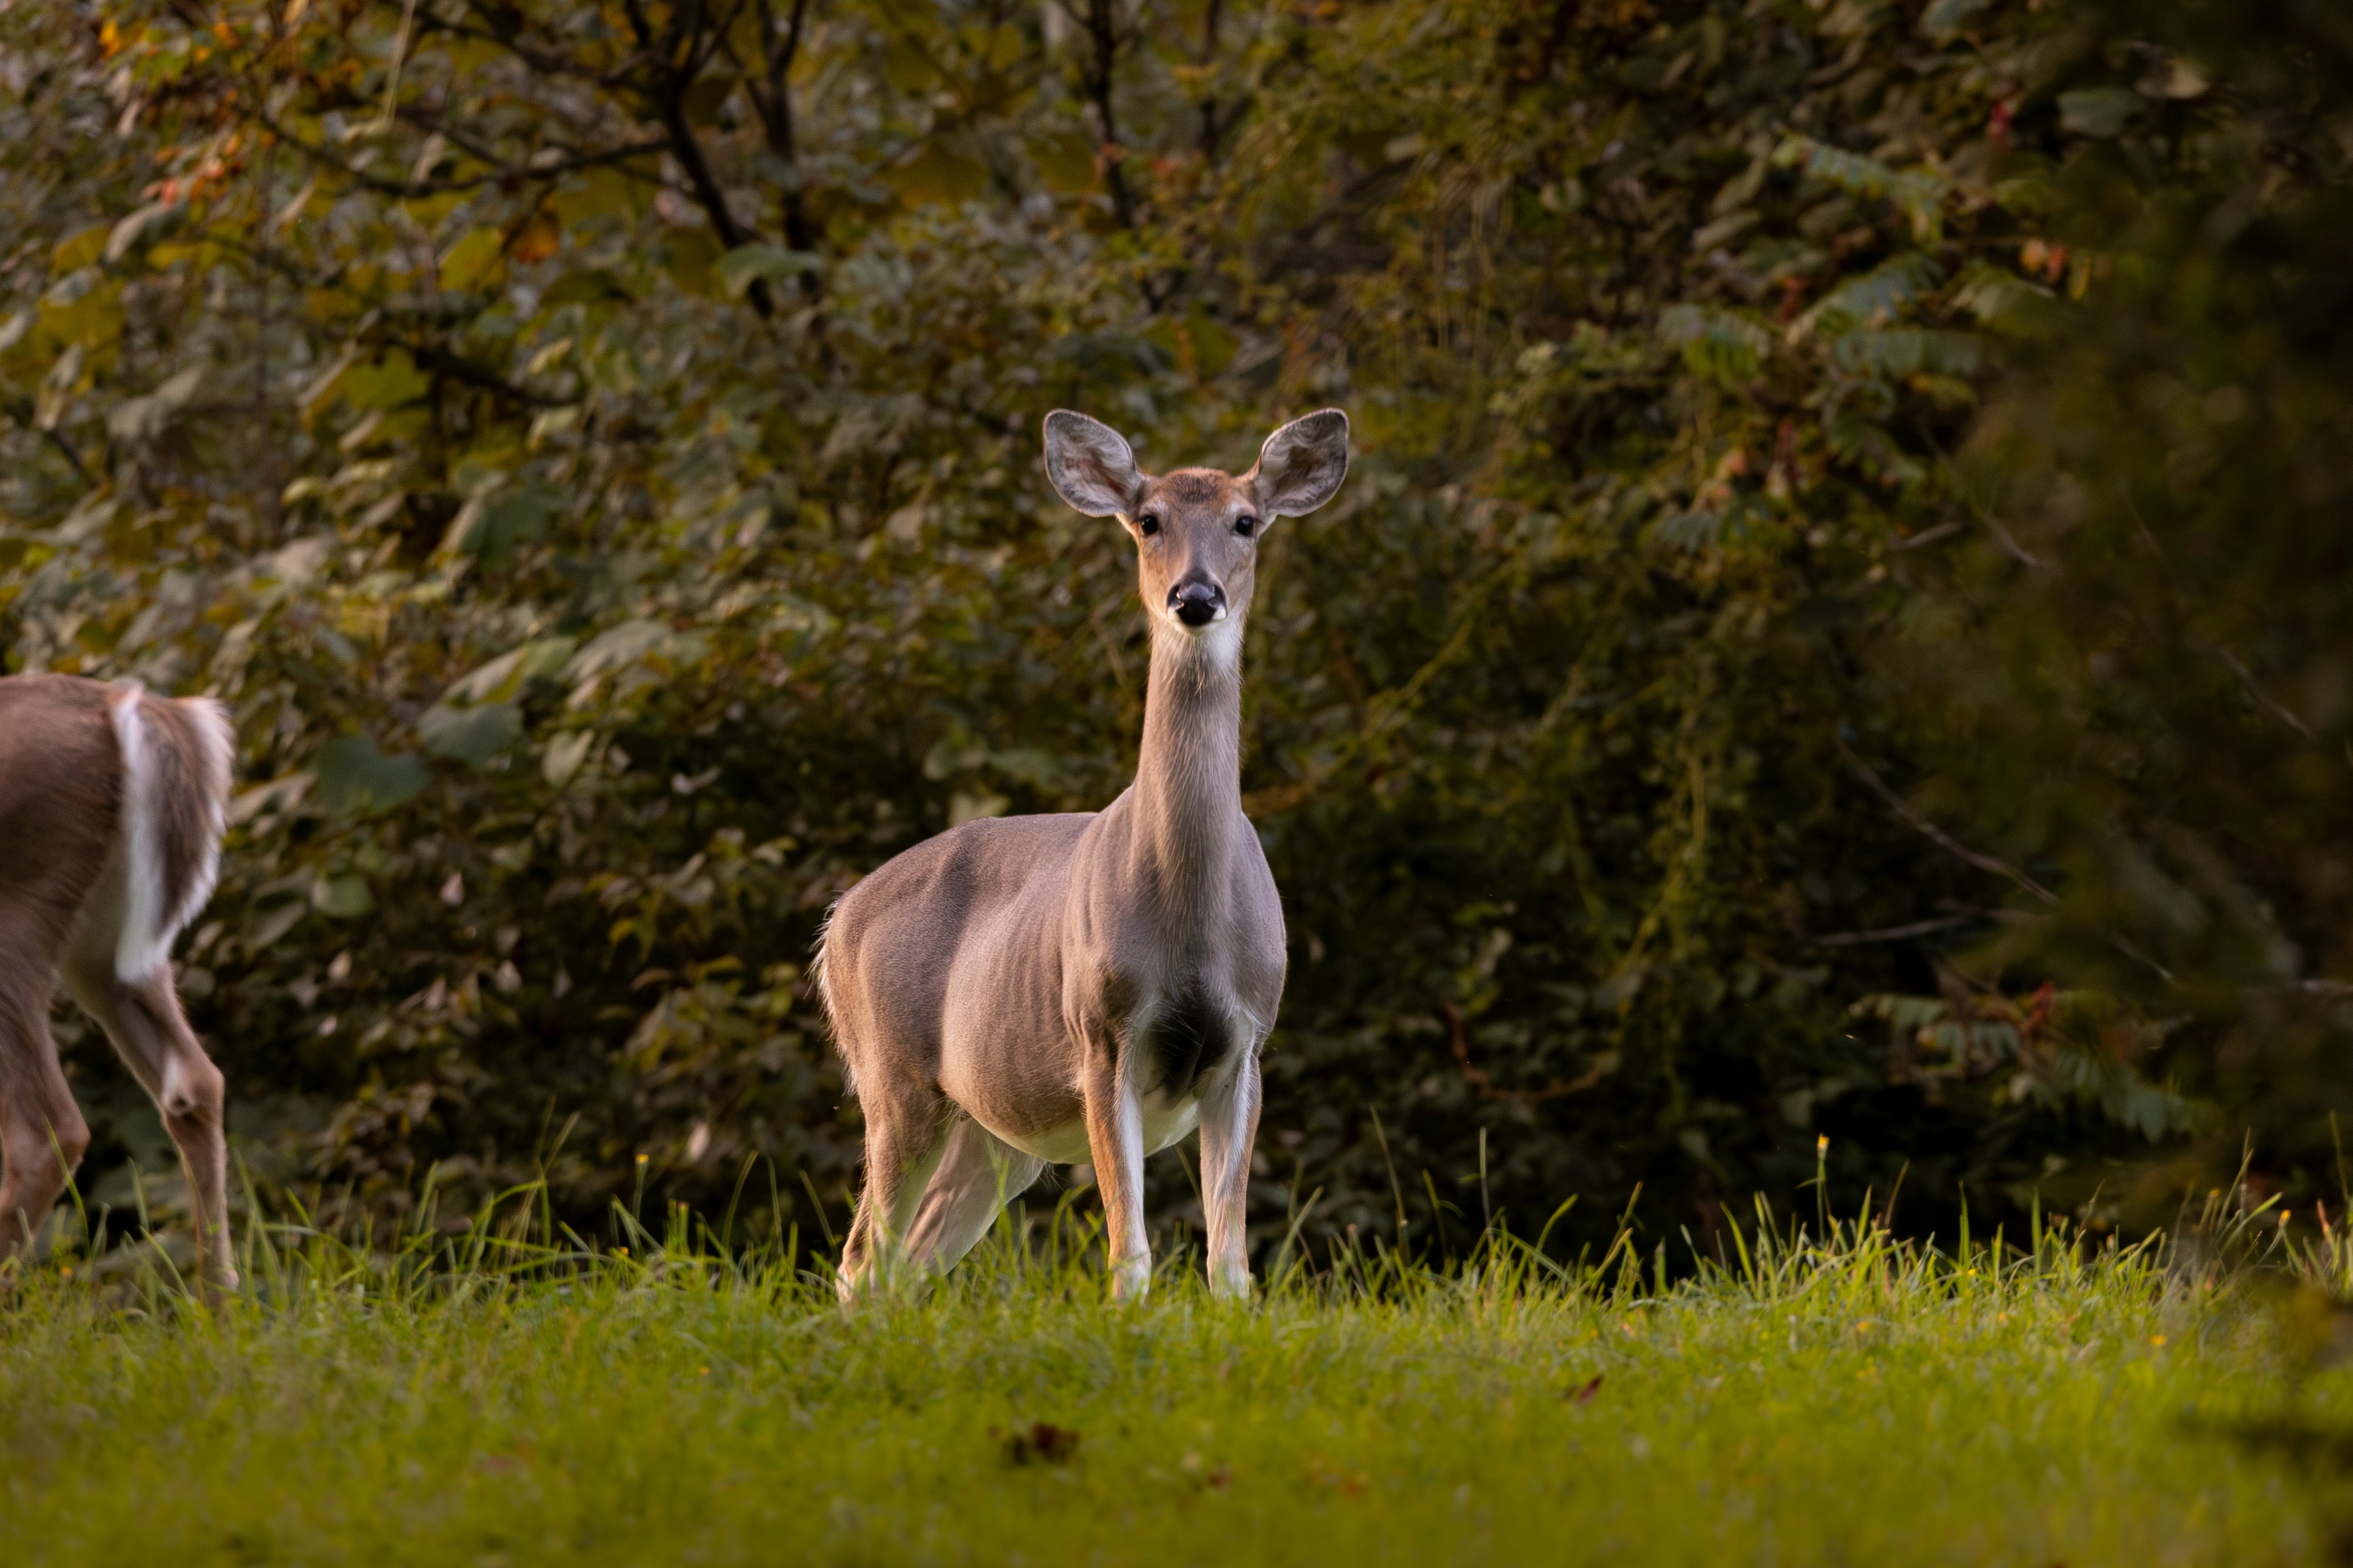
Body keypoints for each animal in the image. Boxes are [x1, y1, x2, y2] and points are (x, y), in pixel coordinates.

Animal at [818, 408, 1350, 1302]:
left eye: (1246, 521)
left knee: (911, 1257)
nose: (1195, 596)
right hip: (894, 1079)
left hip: (994, 1137)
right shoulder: (1101, 1037)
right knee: (861, 1257)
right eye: (1149, 520)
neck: (1191, 927)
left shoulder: (1247, 1043)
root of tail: (835, 925)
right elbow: (1129, 1252)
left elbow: (1230, 1260)